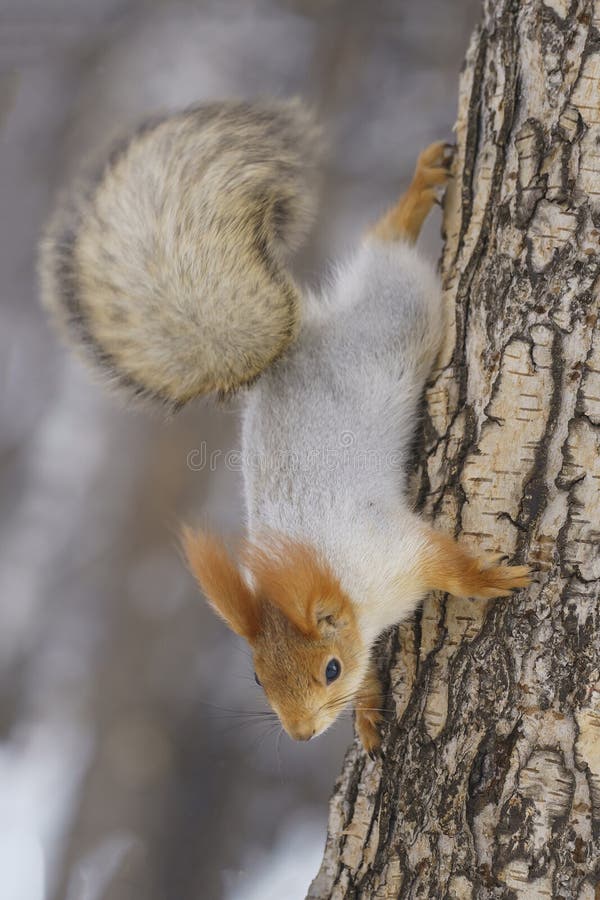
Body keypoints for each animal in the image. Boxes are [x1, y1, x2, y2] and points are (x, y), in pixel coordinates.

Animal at [40, 99, 530, 756]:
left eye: (329, 669)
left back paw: (418, 188)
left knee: (389, 250)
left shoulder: (394, 547)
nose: (300, 735)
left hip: (403, 316)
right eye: (256, 676)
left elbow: (448, 563)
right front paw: (368, 712)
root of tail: (299, 344)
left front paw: (494, 577)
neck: (339, 582)